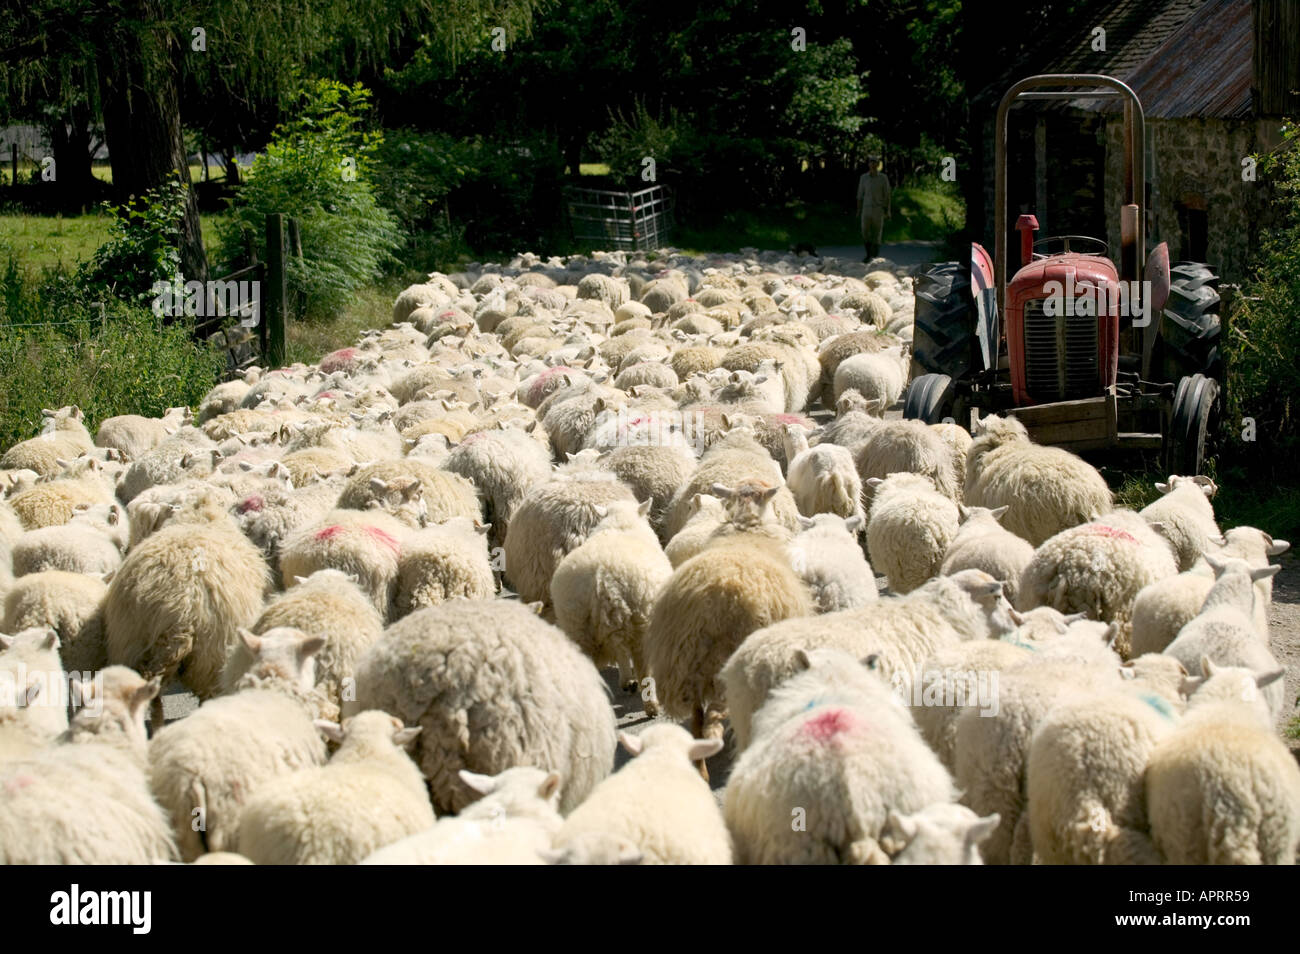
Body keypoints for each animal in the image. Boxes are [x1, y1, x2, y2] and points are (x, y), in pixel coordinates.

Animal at [106, 511, 270, 728]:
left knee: (153, 699)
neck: (199, 519)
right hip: (211, 661)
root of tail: (182, 612)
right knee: (207, 697)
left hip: (133, 645)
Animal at [550, 499, 670, 714]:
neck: (620, 526)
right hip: (640, 624)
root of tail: (602, 579)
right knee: (642, 666)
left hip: (578, 628)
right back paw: (649, 704)